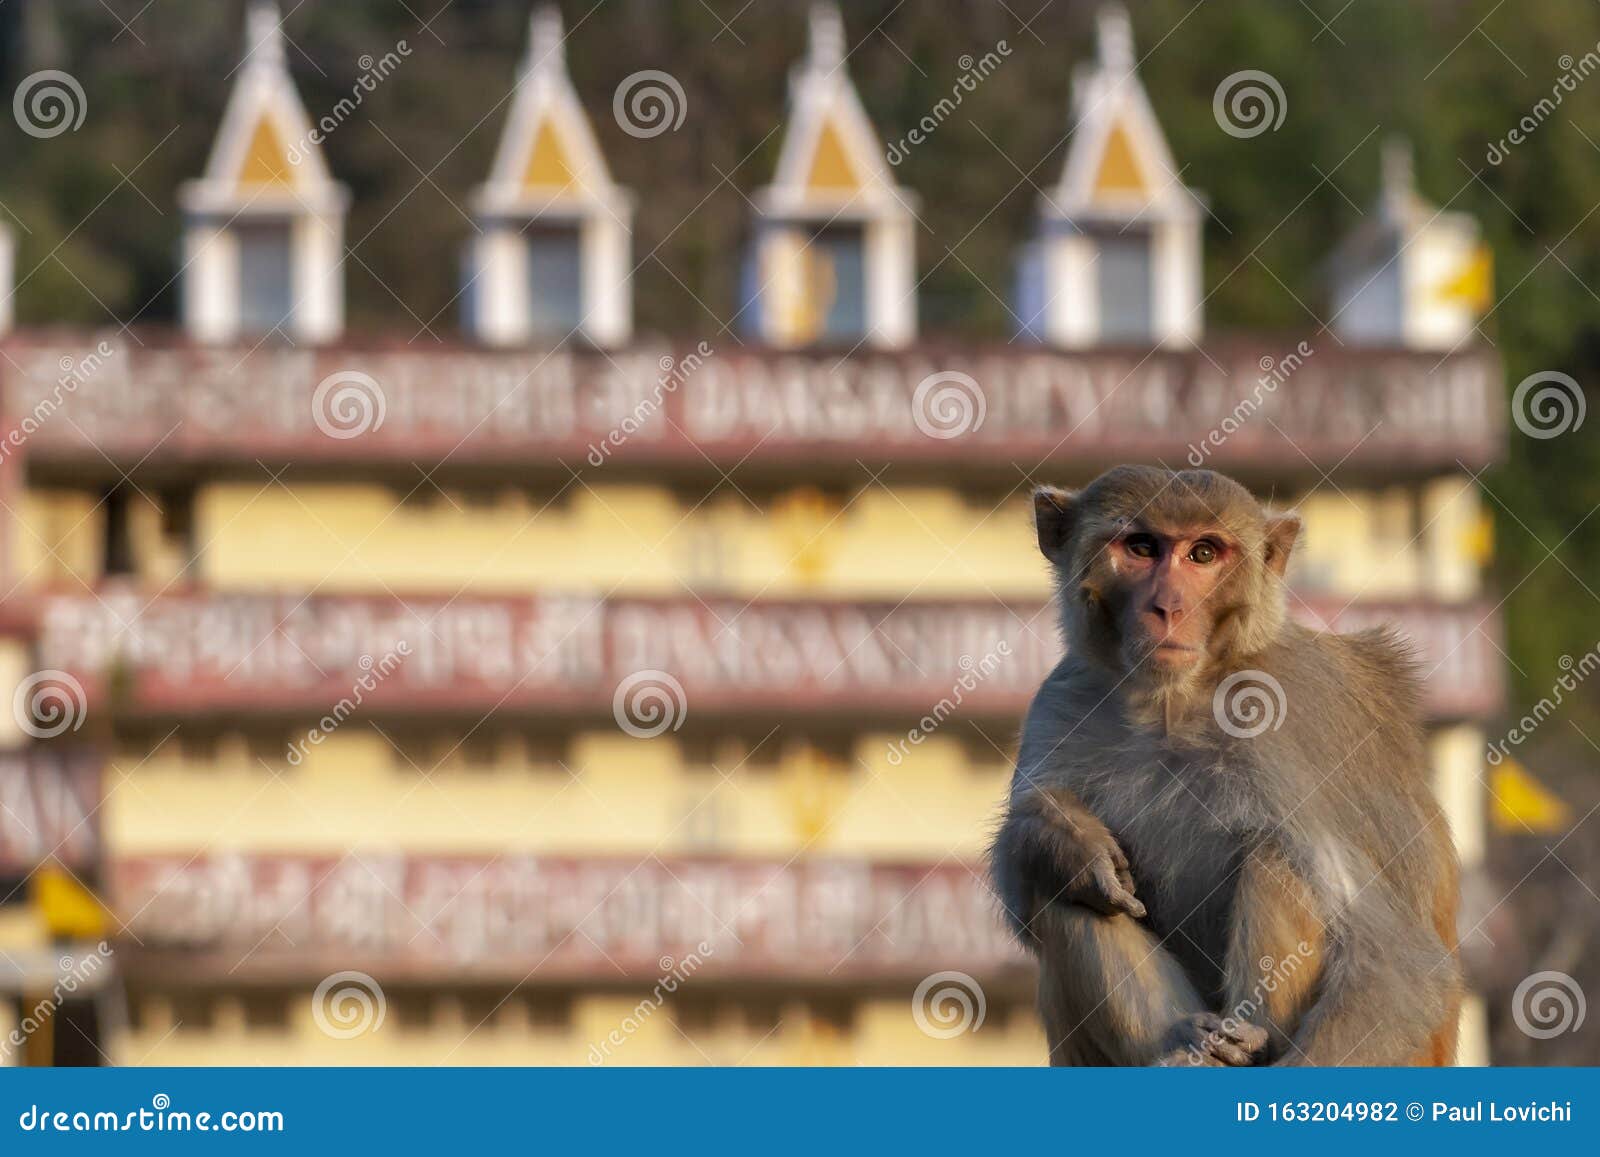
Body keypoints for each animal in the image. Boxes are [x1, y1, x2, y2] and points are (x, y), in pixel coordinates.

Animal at [989, 465, 1461, 1066]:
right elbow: (1029, 879)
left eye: (1204, 553)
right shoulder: (1060, 701)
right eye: (1142, 547)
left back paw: (1246, 1038)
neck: (1173, 703)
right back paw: (1181, 1046)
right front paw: (1066, 839)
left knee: (1278, 854)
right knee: (1062, 890)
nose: (1168, 608)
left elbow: (1396, 962)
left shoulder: (1293, 728)